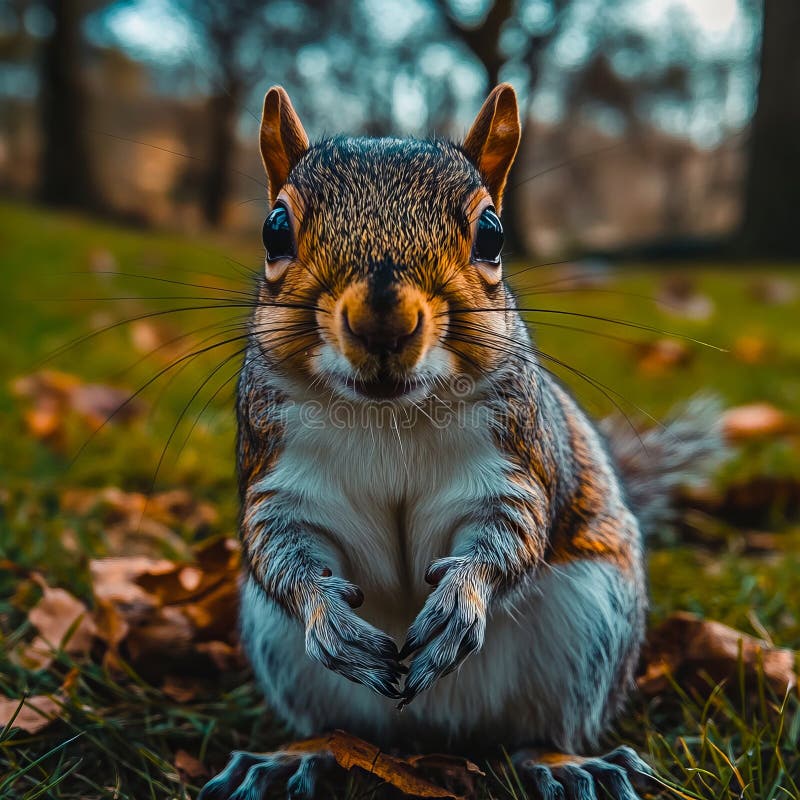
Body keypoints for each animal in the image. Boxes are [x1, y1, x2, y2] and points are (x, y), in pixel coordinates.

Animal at [199, 84, 723, 800]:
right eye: (274, 229)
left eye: (492, 236)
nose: (383, 320)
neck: (387, 418)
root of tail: (432, 736)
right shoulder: (277, 478)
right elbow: (279, 549)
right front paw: (326, 614)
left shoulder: (514, 464)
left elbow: (513, 534)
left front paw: (462, 598)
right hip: (281, 651)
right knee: (343, 733)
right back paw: (295, 756)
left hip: (589, 626)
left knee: (532, 735)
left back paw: (565, 764)